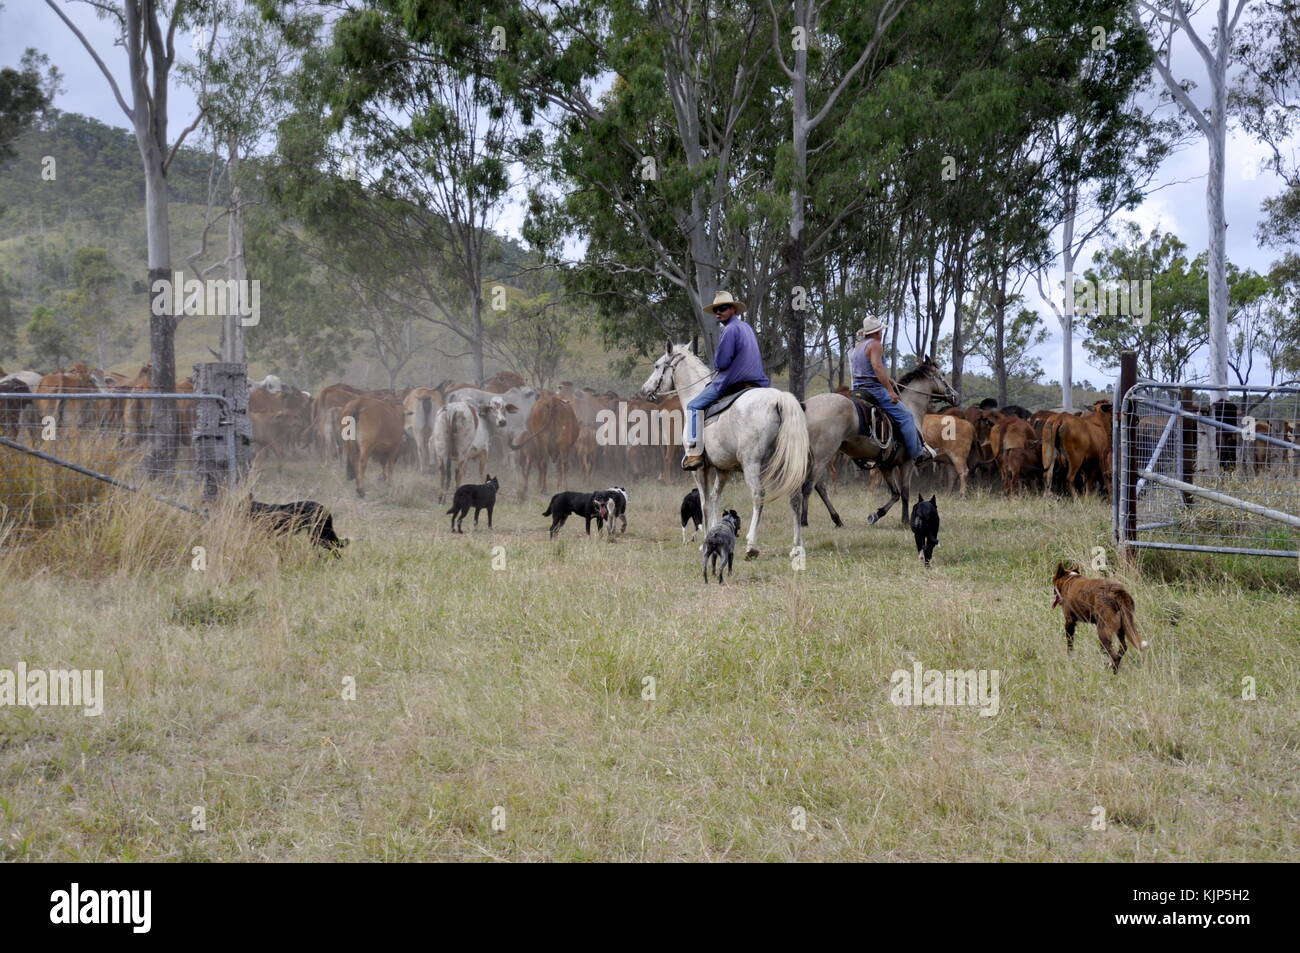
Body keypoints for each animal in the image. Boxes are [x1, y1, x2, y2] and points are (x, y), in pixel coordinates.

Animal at [639, 343, 808, 560]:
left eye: (657, 365)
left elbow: (704, 502)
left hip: (752, 464)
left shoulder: (699, 469)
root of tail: (779, 399)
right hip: (785, 464)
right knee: (795, 498)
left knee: (758, 496)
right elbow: (715, 498)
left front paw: (705, 541)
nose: (645, 389)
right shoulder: (723, 469)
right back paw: (796, 547)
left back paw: (752, 545)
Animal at [801, 356, 959, 527]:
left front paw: (876, 515)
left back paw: (837, 519)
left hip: (814, 457)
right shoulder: (907, 463)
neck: (911, 407)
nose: (955, 396)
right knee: (810, 485)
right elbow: (905, 493)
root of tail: (806, 406)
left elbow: (895, 493)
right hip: (823, 456)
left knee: (818, 486)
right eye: (942, 375)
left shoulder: (886, 466)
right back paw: (804, 521)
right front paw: (906, 521)